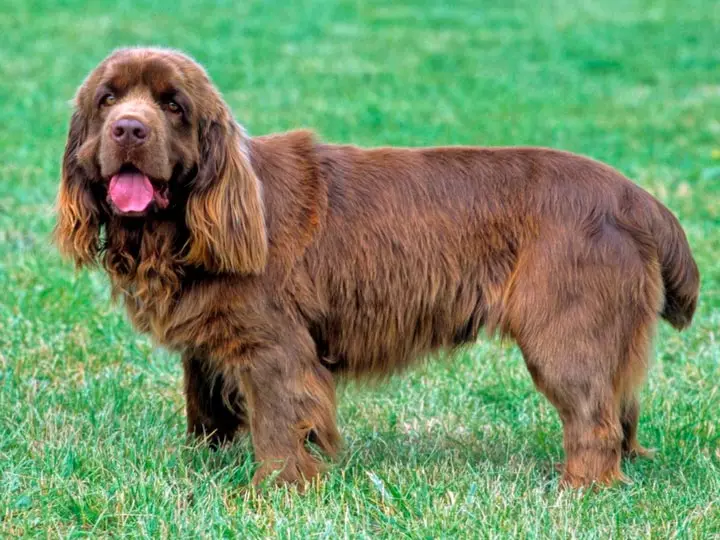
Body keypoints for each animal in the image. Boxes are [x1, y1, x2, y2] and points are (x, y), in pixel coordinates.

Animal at [54, 48, 696, 488]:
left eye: (173, 105)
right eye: (107, 99)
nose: (129, 129)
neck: (179, 230)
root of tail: (637, 197)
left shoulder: (273, 345)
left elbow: (278, 419)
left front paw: (273, 489)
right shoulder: (208, 346)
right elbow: (206, 412)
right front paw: (202, 468)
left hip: (564, 331)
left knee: (593, 419)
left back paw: (576, 490)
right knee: (621, 406)